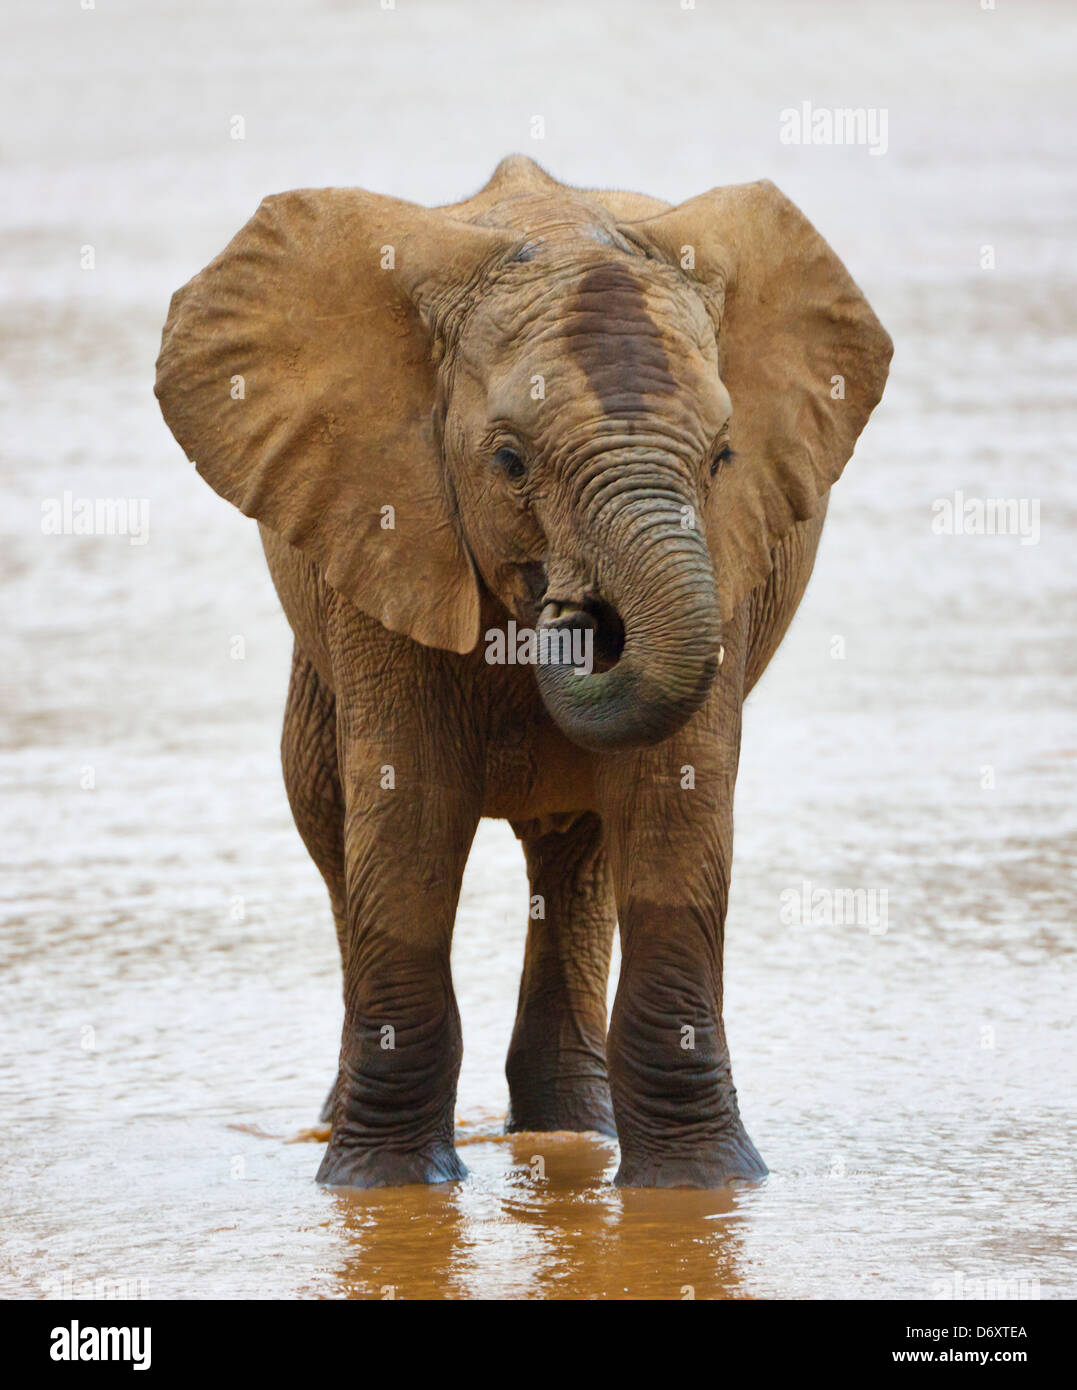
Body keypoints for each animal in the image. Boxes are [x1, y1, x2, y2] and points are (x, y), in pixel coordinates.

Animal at [155, 155, 891, 1189]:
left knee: (578, 855)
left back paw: (576, 1132)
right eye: (507, 461)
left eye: (721, 457)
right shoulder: (387, 526)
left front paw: (704, 1188)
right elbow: (408, 818)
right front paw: (382, 1186)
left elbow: (674, 806)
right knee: (330, 821)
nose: (579, 612)